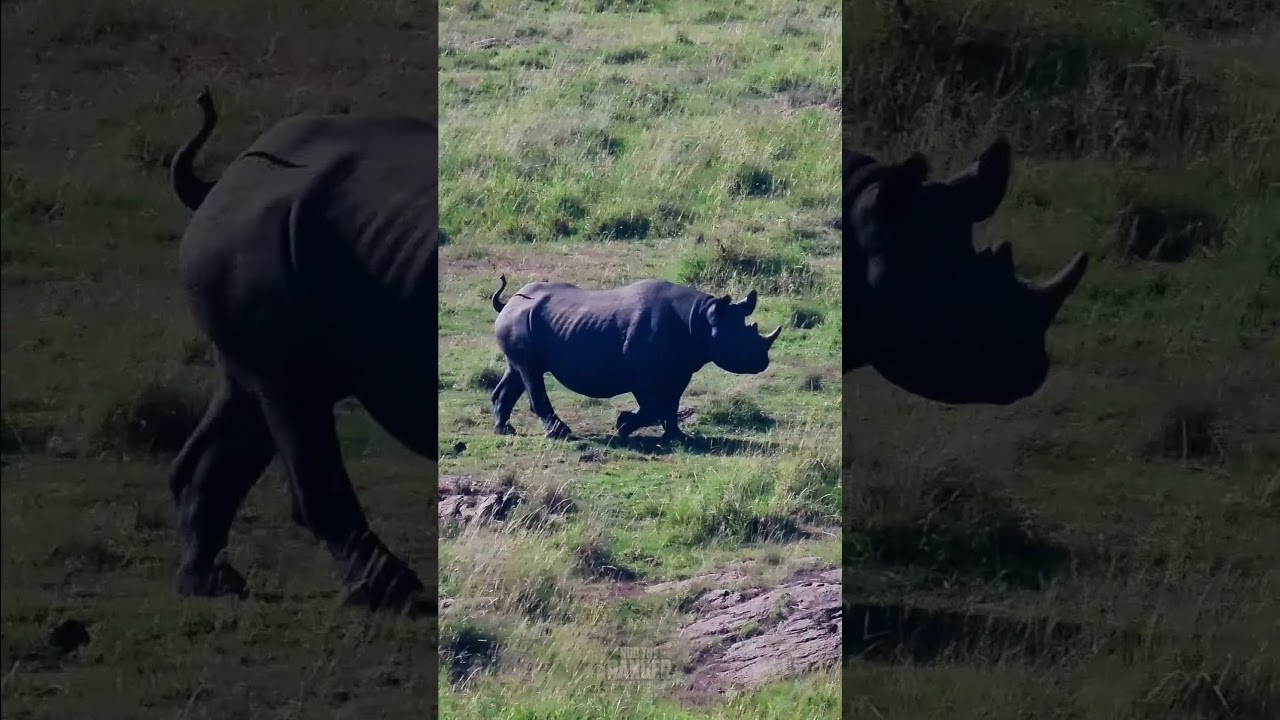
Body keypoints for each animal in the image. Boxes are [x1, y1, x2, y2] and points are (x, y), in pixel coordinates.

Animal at [164, 91, 435, 613]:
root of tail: (225, 182)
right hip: (258, 247)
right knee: (291, 398)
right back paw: (394, 594)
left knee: (246, 401)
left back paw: (208, 582)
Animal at [488, 276, 782, 441]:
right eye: (739, 341)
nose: (762, 362)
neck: (700, 319)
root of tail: (509, 303)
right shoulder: (643, 373)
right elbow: (652, 407)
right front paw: (623, 426)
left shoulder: (680, 368)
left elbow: (671, 404)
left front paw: (677, 437)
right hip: (519, 321)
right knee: (531, 373)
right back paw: (559, 433)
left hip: (522, 321)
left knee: (517, 372)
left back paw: (504, 430)